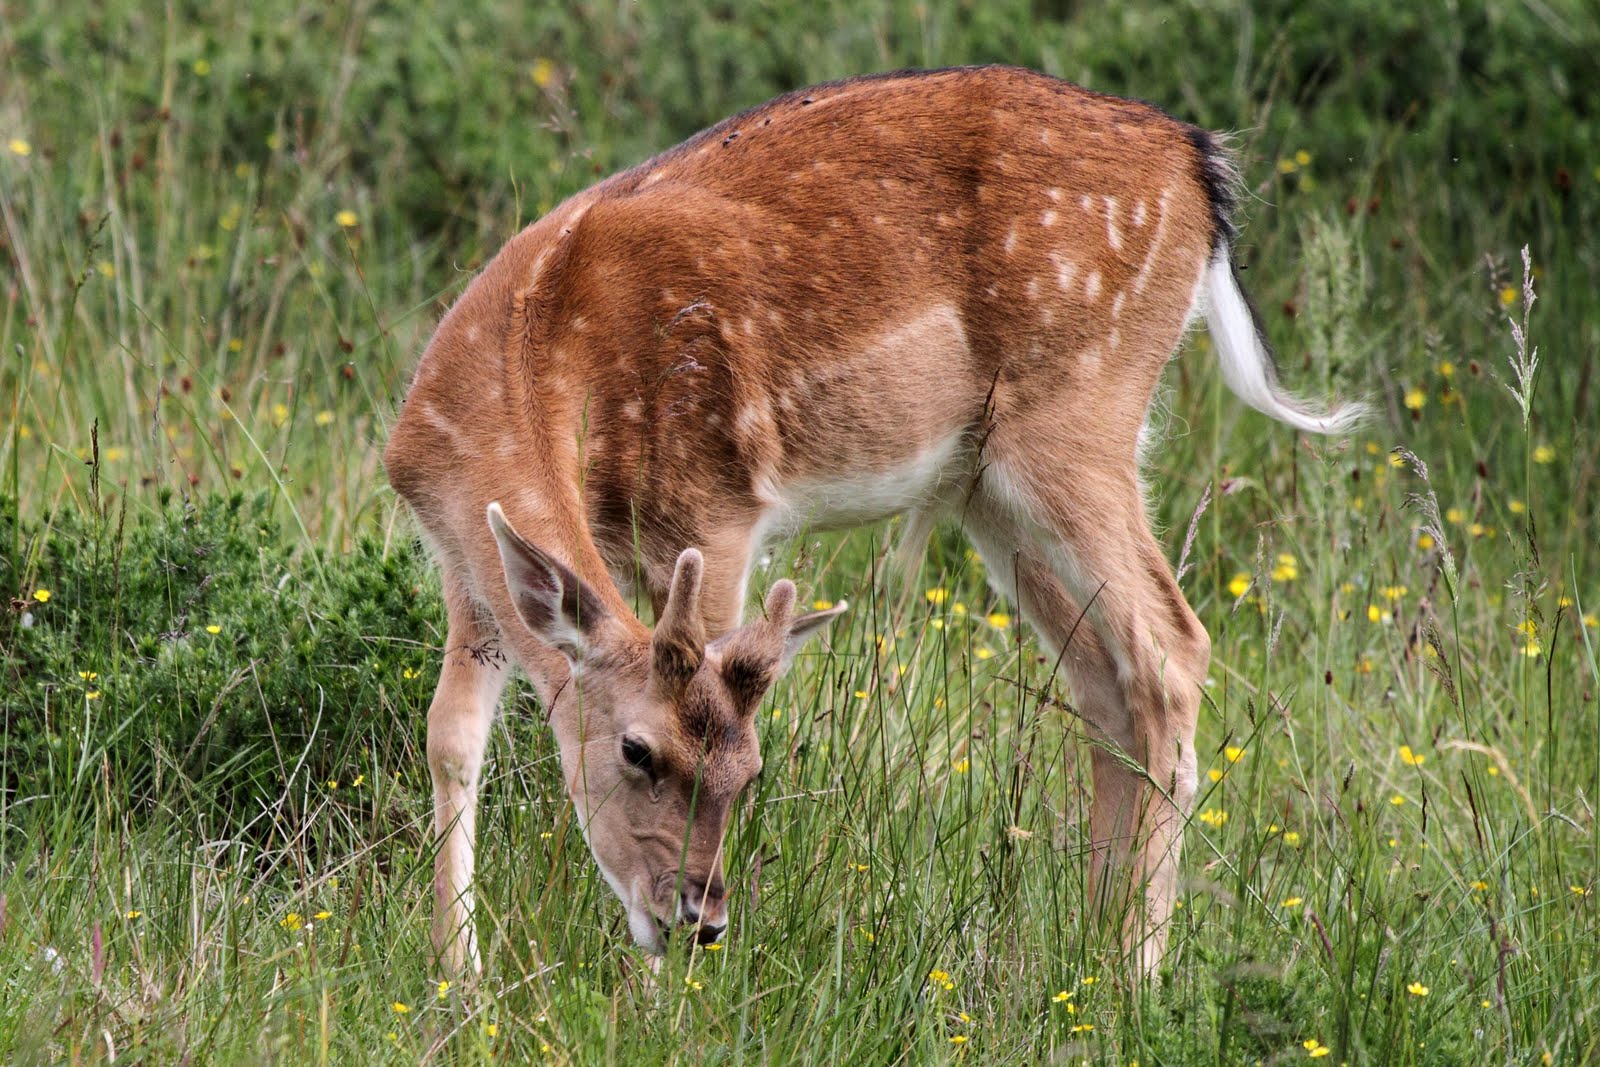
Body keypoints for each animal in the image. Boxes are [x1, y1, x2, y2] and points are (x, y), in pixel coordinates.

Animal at [383, 64, 1363, 979]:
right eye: (637, 751)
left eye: (750, 772)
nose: (697, 922)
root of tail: (1201, 166)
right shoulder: (465, 562)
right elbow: (450, 737)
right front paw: (456, 974)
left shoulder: (714, 503)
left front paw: (656, 999)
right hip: (988, 485)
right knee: (1104, 678)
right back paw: (1084, 953)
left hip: (1082, 410)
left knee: (1172, 650)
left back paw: (1137, 971)